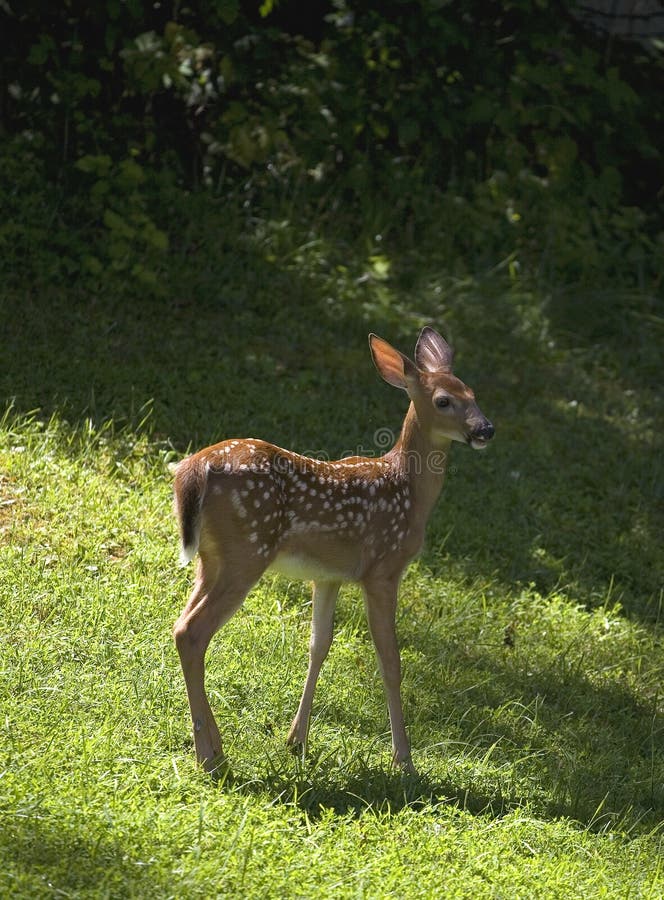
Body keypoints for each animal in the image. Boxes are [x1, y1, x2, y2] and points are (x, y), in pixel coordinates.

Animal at [173, 327, 494, 776]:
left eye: (473, 392)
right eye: (444, 400)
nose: (486, 429)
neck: (408, 492)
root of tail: (193, 468)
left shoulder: (327, 576)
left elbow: (318, 645)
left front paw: (296, 740)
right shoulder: (382, 570)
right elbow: (390, 661)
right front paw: (404, 760)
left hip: (212, 559)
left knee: (181, 625)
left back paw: (214, 746)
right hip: (246, 552)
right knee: (192, 632)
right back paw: (209, 756)